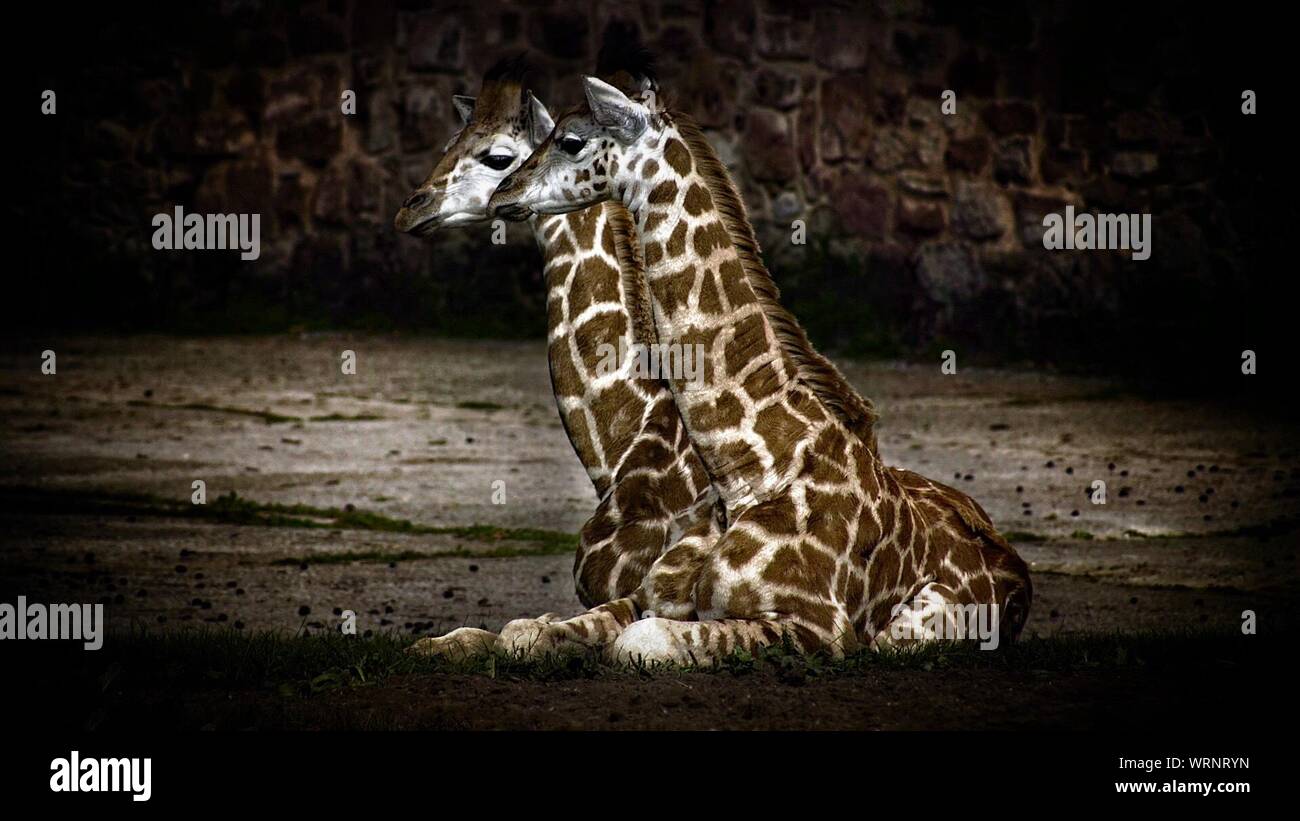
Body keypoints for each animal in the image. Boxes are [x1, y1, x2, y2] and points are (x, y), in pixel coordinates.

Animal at [488, 75, 1032, 664]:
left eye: (571, 141)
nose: (502, 195)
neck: (745, 473)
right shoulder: (645, 595)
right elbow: (525, 632)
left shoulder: (818, 626)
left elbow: (643, 642)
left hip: (912, 630)